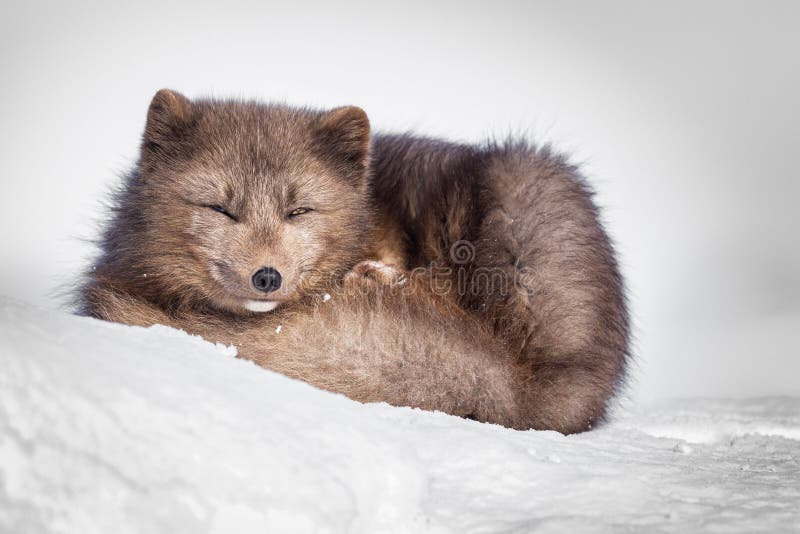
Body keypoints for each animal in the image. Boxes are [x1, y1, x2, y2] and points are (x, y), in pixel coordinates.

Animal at [79, 89, 630, 433]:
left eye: (299, 210)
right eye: (220, 208)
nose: (266, 276)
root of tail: (525, 387)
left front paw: (378, 274)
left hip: (524, 196)